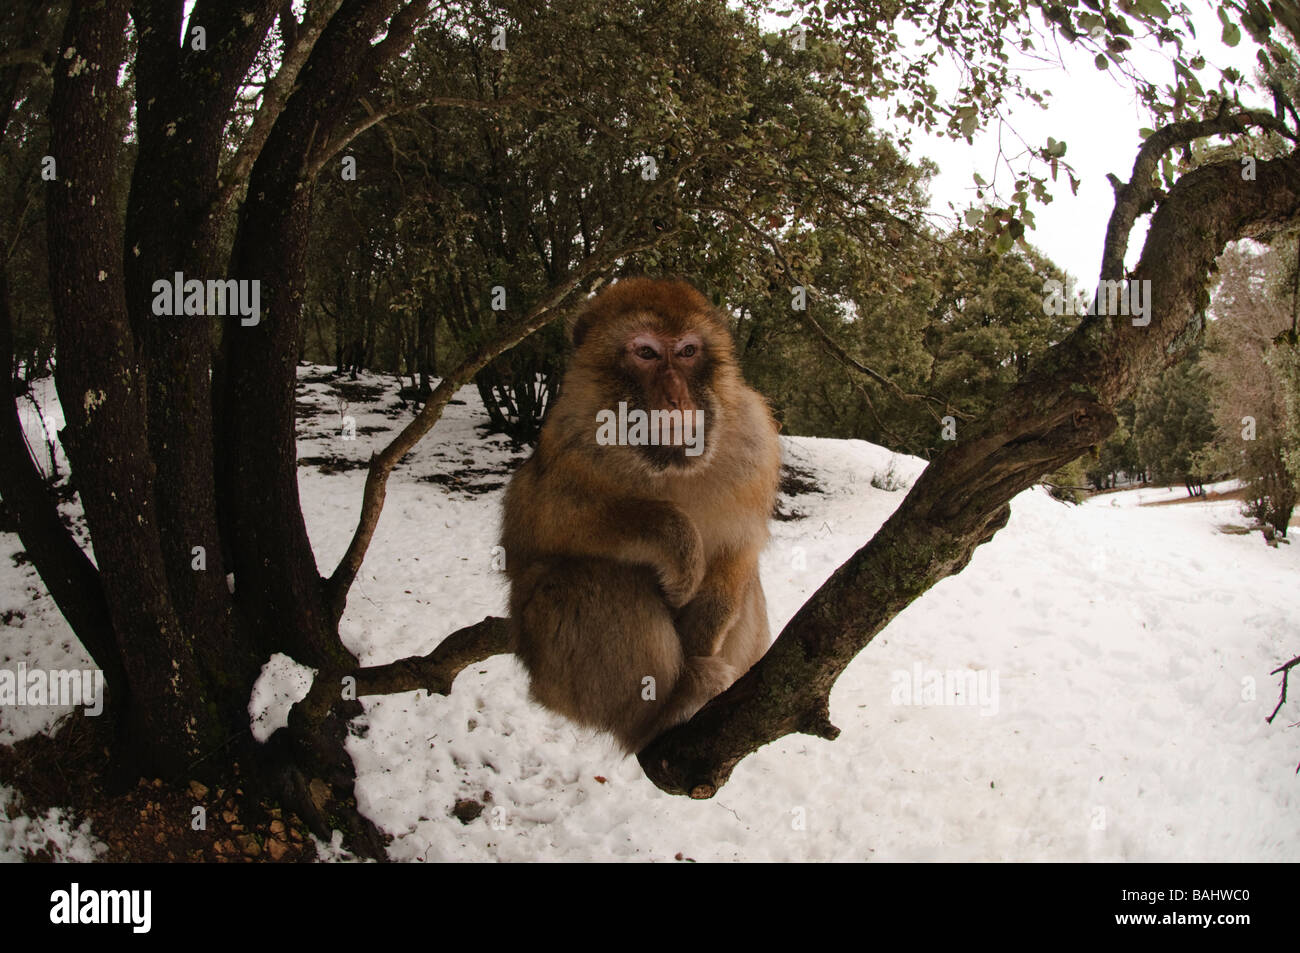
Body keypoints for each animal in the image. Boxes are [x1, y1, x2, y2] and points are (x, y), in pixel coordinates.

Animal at [500, 277, 781, 754]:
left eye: (687, 351)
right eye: (646, 352)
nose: (676, 396)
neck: (670, 467)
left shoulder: (754, 441)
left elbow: (739, 551)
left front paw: (702, 637)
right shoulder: (568, 438)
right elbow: (531, 525)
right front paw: (676, 541)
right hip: (551, 674)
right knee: (589, 582)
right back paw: (662, 712)